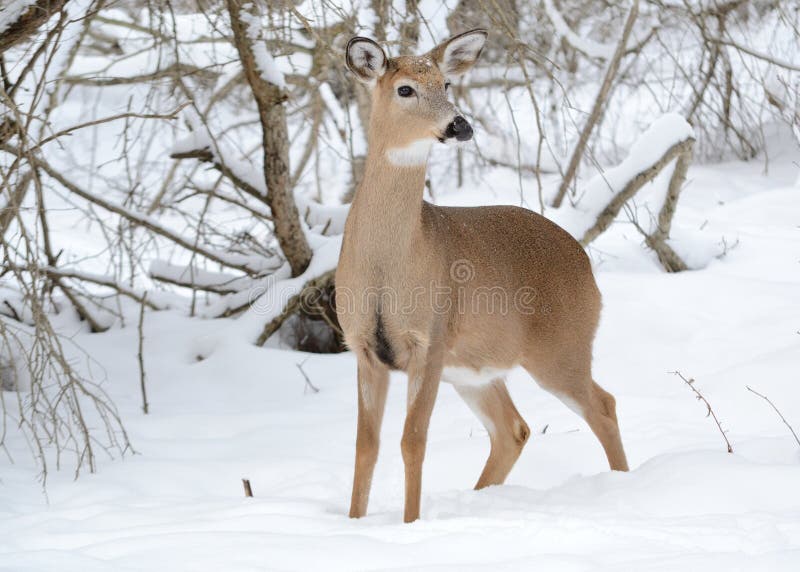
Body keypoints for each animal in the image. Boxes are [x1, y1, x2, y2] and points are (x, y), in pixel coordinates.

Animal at [335, 29, 629, 524]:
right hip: (476, 371)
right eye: (405, 89)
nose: (460, 125)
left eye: (447, 84)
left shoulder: (429, 341)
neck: (386, 267)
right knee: (515, 428)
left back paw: (626, 487)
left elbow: (412, 441)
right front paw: (353, 524)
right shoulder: (363, 347)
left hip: (562, 346)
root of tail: (586, 263)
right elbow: (364, 447)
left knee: (603, 405)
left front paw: (410, 525)